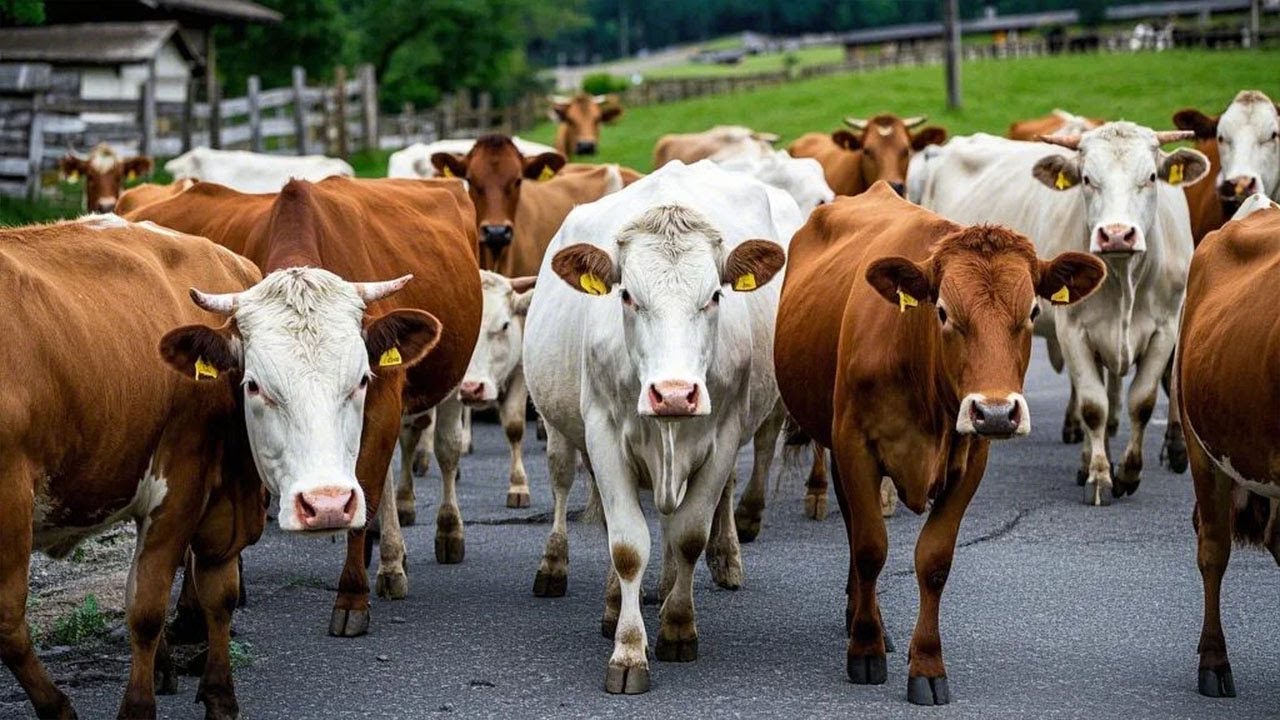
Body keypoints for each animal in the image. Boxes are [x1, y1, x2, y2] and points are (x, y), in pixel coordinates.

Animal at [124, 176, 482, 637]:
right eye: (254, 385)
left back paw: (438, 538)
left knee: (444, 451)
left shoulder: (383, 406)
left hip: (452, 383)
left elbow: (367, 488)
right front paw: (192, 610)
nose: (325, 505)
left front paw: (351, 596)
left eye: (361, 379)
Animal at [524, 160, 797, 693]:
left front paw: (678, 626)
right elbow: (627, 544)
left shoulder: (722, 437)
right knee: (566, 485)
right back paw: (571, 577)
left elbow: (689, 534)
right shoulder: (604, 436)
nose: (673, 392)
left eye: (715, 295)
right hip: (563, 430)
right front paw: (629, 650)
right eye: (627, 296)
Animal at [774, 182, 1105, 705]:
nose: (996, 412)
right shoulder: (854, 446)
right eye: (944, 312)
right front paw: (864, 649)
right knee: (854, 528)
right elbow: (870, 547)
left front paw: (926, 665)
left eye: (1033, 311)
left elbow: (934, 561)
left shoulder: (970, 461)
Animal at [920, 124, 1208, 505]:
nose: (1117, 234)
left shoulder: (1166, 328)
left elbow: (1142, 402)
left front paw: (1129, 472)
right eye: (1087, 178)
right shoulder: (1073, 329)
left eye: (1150, 177)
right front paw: (1099, 475)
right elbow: (1093, 405)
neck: (1123, 278)